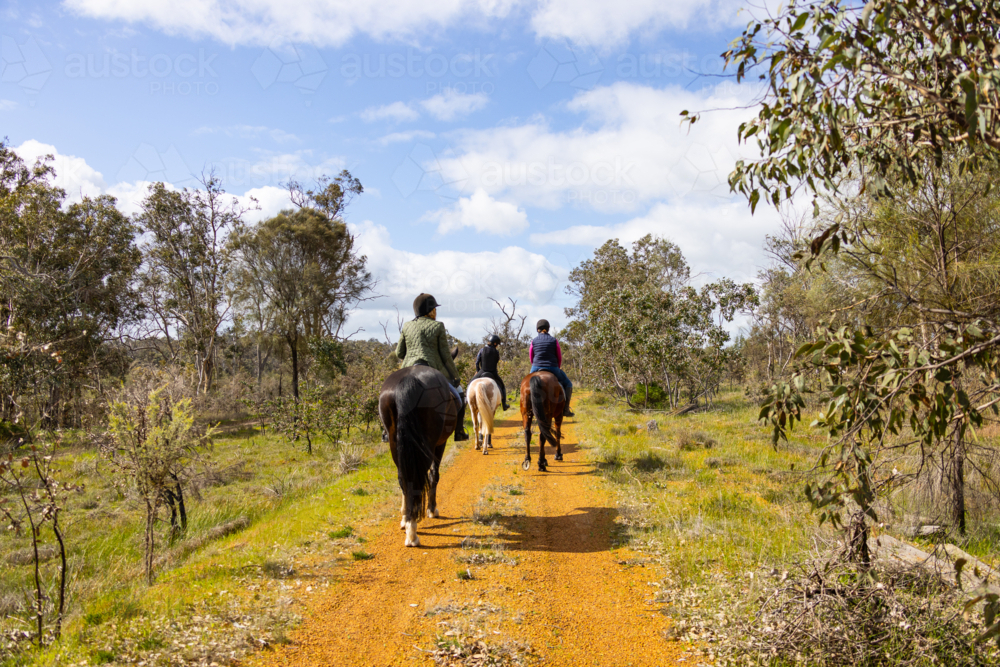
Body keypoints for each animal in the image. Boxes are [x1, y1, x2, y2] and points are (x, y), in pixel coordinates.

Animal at [378, 355, 461, 547]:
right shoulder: (440, 444)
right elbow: (434, 475)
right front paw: (432, 509)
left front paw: (404, 516)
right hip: (428, 444)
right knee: (421, 477)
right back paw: (413, 531)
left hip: (395, 443)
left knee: (404, 478)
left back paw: (408, 522)